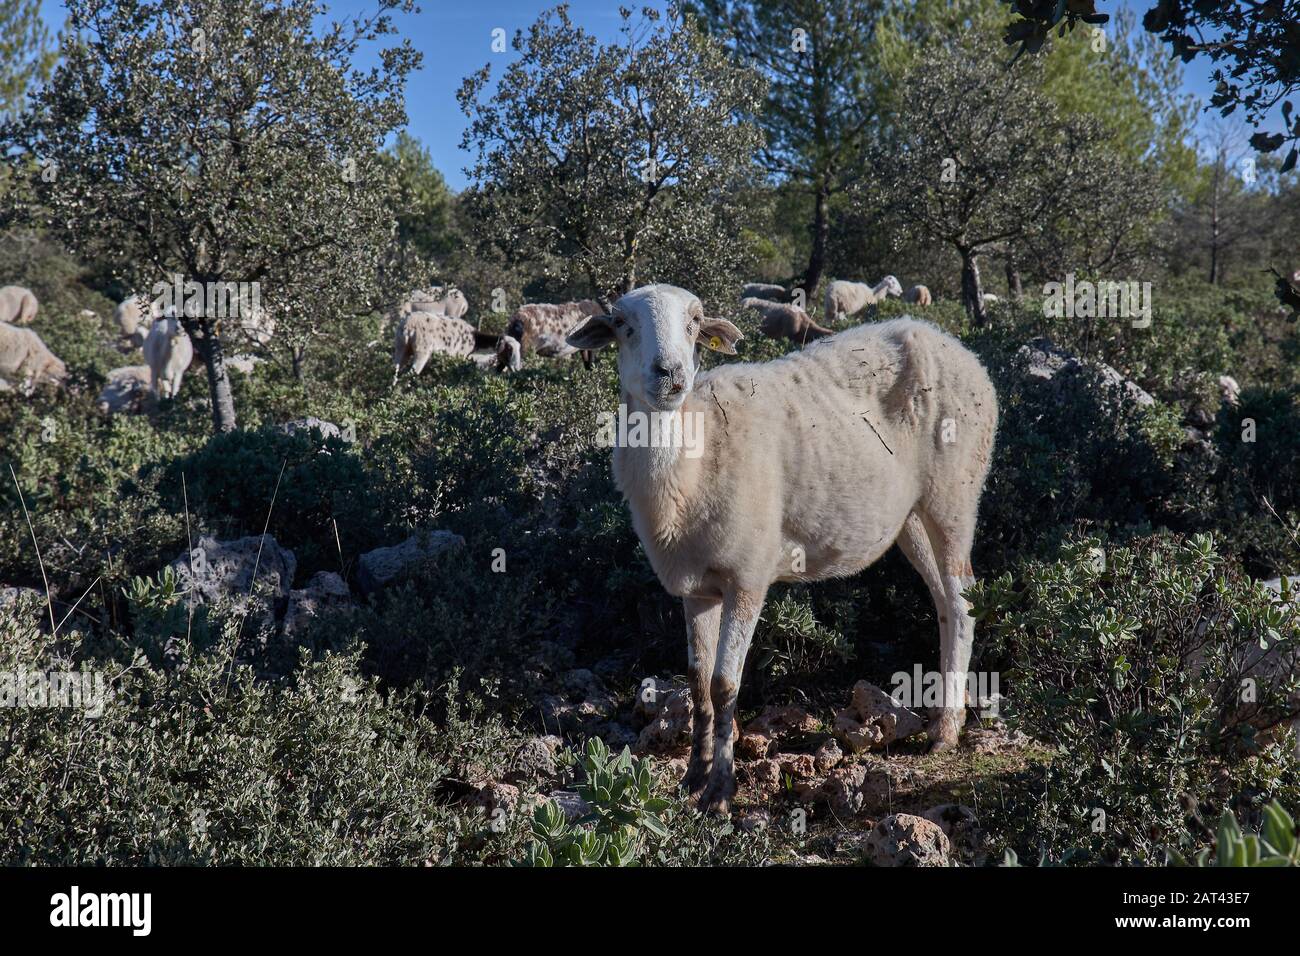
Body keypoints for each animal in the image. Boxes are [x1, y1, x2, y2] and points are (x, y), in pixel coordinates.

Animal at [566, 284, 998, 813]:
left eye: (693, 323)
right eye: (623, 325)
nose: (670, 373)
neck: (689, 463)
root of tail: (951, 342)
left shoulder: (747, 576)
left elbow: (724, 685)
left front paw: (720, 792)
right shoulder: (695, 587)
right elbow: (696, 683)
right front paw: (693, 777)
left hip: (954, 495)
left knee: (961, 601)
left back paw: (947, 731)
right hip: (910, 518)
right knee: (942, 601)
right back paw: (940, 717)